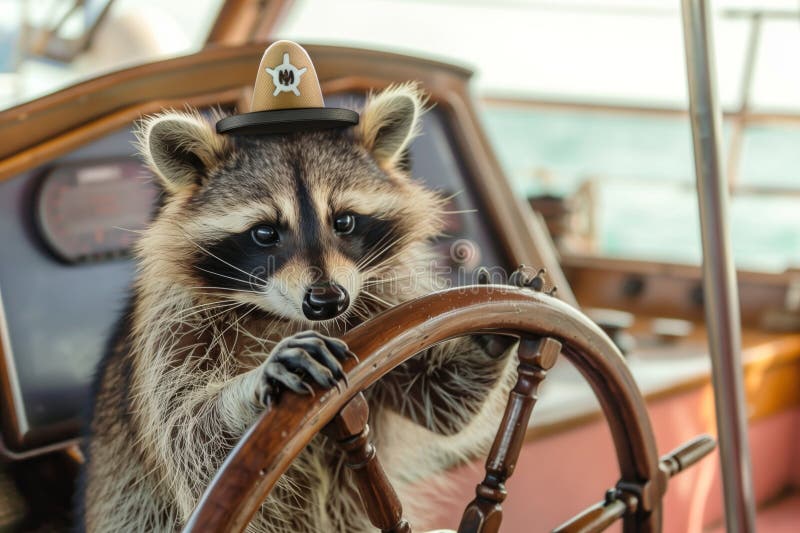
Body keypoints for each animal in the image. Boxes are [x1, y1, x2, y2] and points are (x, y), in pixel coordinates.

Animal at [80, 84, 519, 532]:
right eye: (264, 233)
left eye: (344, 221)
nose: (328, 301)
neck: (281, 316)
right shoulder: (171, 327)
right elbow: (191, 436)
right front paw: (256, 383)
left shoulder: (386, 305)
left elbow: (441, 398)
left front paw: (488, 338)